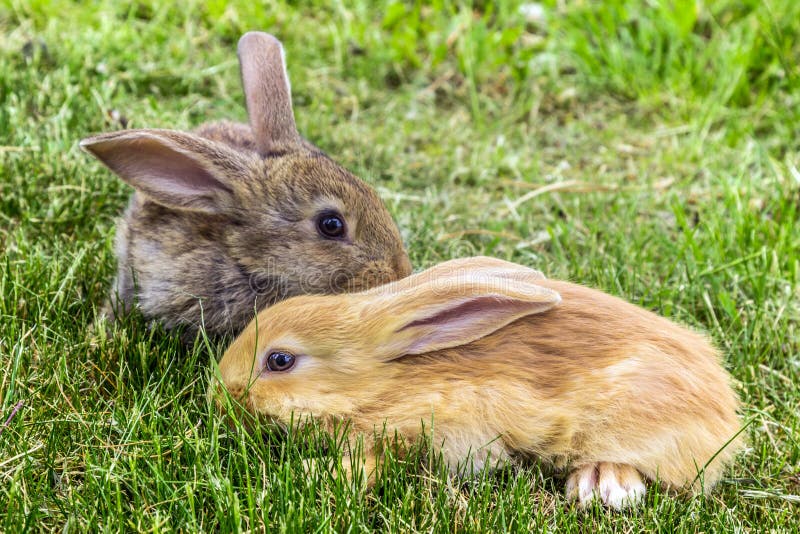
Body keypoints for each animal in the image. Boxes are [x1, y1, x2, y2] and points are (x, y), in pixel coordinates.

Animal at [215, 256, 744, 509]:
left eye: (279, 360)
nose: (221, 395)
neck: (385, 379)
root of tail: (723, 406)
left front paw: (313, 475)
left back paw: (602, 486)